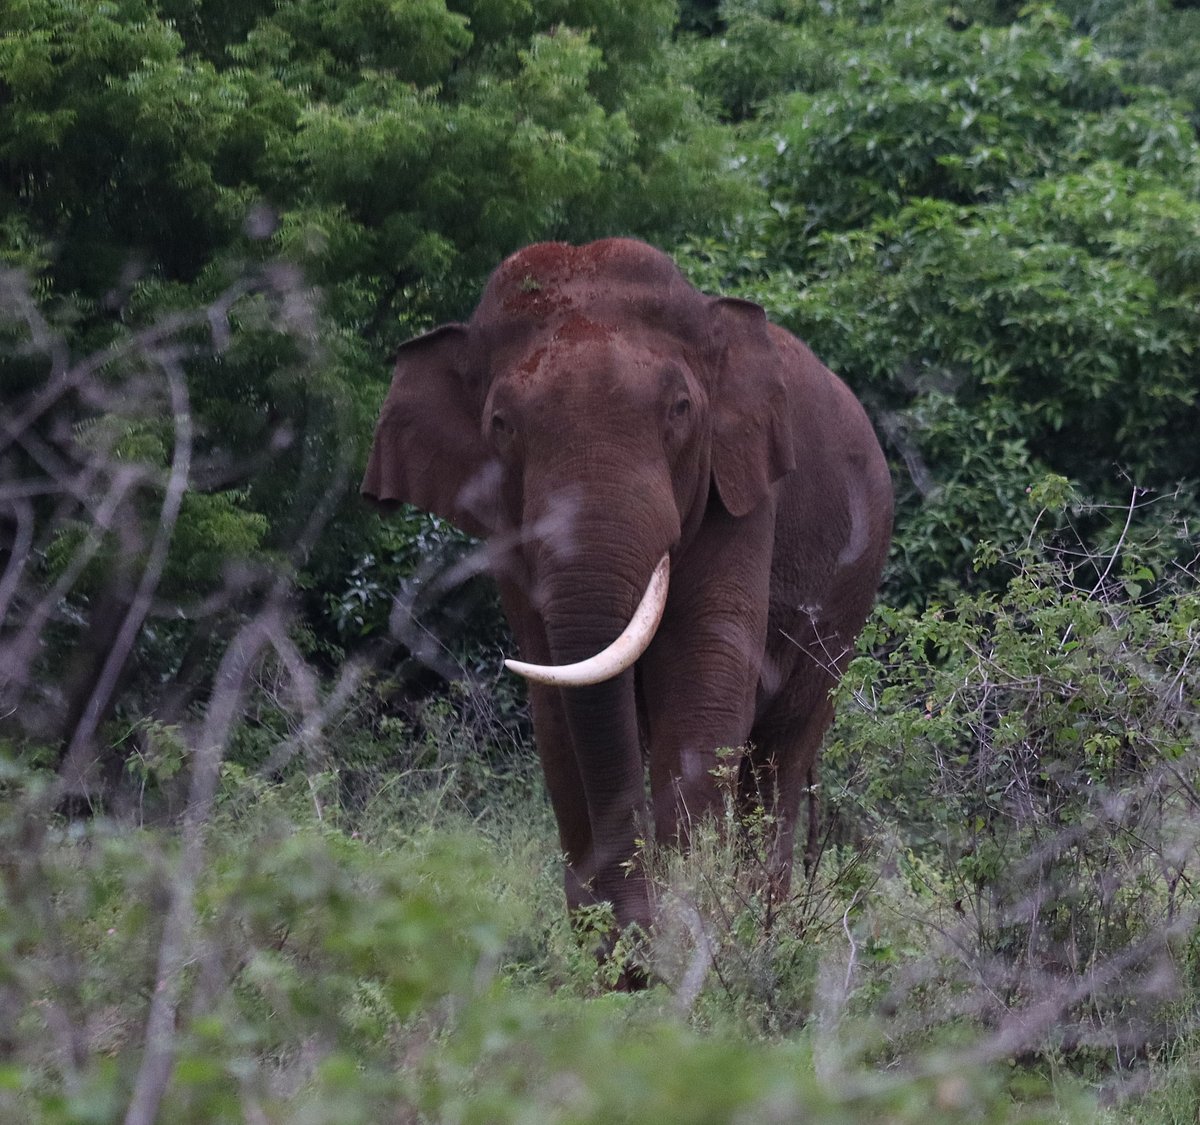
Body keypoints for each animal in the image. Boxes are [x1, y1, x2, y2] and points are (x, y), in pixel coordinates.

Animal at [362, 238, 892, 945]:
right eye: (500, 424)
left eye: (680, 411)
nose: (640, 943)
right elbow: (558, 708)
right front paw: (619, 956)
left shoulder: (740, 488)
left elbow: (702, 682)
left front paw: (685, 927)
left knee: (782, 752)